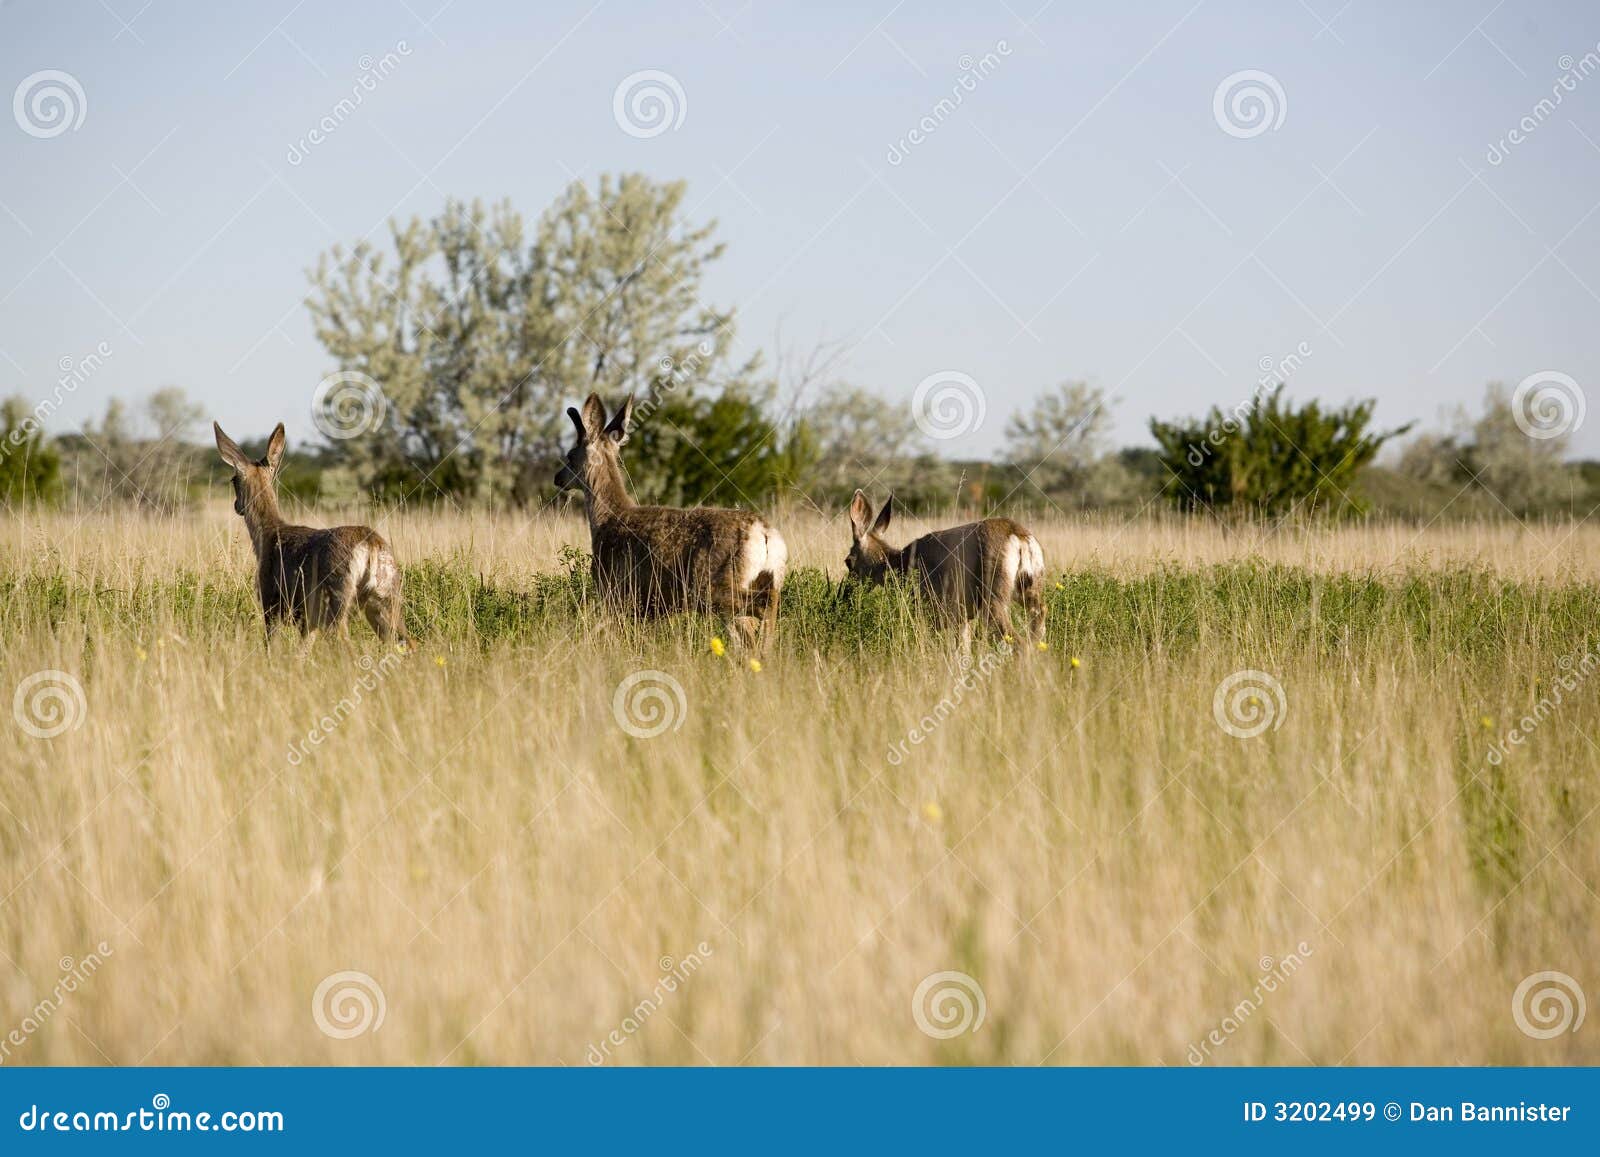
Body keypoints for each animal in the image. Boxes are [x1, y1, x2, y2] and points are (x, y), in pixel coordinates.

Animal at [213, 421, 408, 648]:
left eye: (233, 480)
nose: (237, 506)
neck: (268, 535)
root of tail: (372, 545)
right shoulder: (307, 620)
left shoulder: (271, 600)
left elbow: (272, 645)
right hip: (386, 596)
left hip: (335, 597)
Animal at [554, 393, 787, 650]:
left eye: (570, 456)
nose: (558, 478)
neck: (608, 518)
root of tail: (765, 534)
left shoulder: (615, 591)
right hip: (761, 580)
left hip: (713, 583)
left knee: (762, 606)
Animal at [843, 490, 1046, 651]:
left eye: (848, 562)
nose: (846, 595)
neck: (897, 564)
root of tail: (1020, 536)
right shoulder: (961, 617)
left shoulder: (930, 610)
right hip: (1030, 589)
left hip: (993, 597)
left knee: (1019, 642)